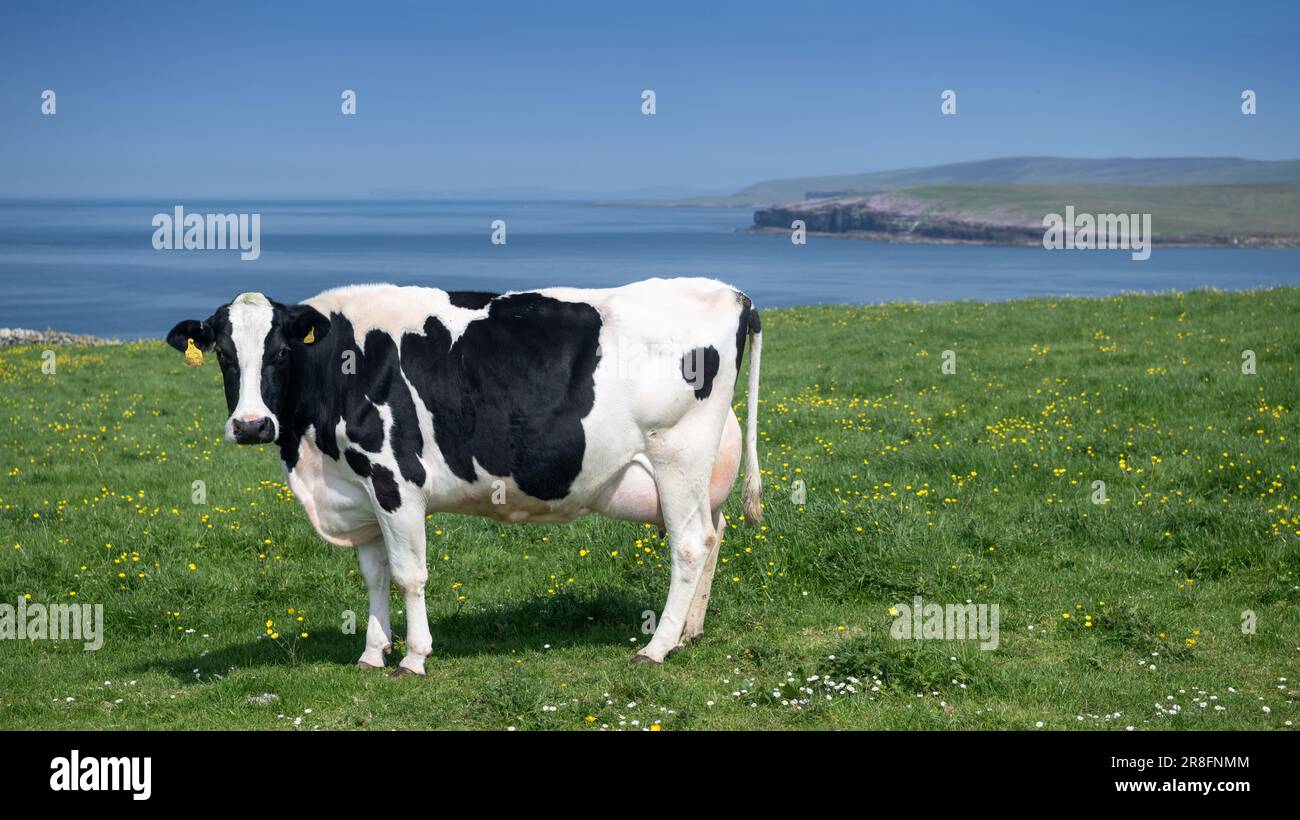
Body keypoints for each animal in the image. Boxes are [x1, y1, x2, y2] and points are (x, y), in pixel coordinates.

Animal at [166, 277, 762, 675]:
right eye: (224, 354)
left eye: (280, 352)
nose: (250, 425)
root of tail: (733, 294)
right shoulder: (362, 491)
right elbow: (375, 576)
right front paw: (371, 653)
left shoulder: (395, 479)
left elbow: (409, 575)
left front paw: (413, 657)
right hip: (700, 469)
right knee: (713, 534)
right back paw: (689, 632)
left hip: (677, 453)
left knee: (689, 544)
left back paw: (656, 646)